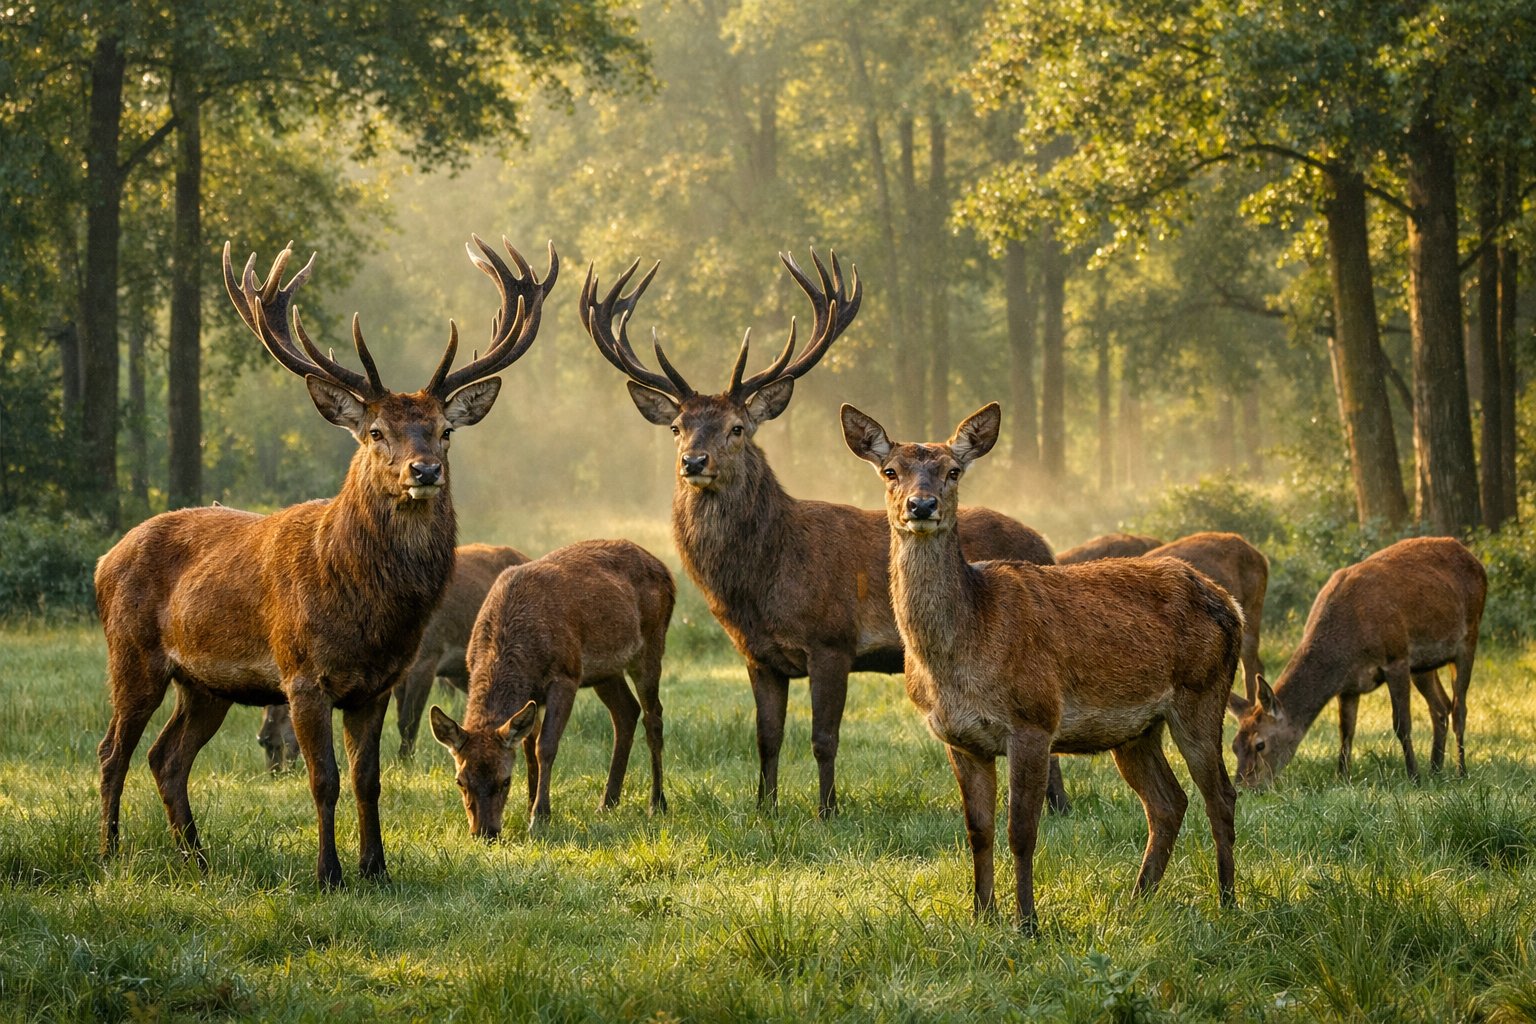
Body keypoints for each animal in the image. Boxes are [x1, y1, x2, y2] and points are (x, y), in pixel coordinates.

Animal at [430, 539, 674, 837]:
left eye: (505, 780)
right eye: (460, 781)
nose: (485, 832)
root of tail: (664, 570)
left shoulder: (565, 674)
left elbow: (544, 746)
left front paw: (540, 816)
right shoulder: (531, 696)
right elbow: (527, 748)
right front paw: (529, 806)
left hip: (652, 642)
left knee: (654, 718)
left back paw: (657, 803)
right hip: (604, 670)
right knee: (626, 711)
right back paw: (607, 802)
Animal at [580, 250, 1064, 820]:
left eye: (738, 428)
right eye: (677, 428)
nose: (694, 462)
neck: (763, 578)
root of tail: (1047, 545)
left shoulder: (832, 638)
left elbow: (823, 737)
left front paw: (827, 810)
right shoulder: (758, 655)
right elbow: (766, 737)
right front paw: (765, 808)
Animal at [842, 402, 1242, 928]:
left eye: (953, 470)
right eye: (890, 471)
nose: (922, 505)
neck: (960, 654)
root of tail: (1229, 605)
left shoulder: (1033, 719)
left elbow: (1021, 831)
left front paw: (1027, 923)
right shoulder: (958, 738)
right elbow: (978, 830)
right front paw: (981, 915)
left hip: (1202, 694)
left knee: (1221, 795)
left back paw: (1228, 901)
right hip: (1136, 730)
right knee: (1168, 802)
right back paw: (1136, 901)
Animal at [1227, 536, 1485, 788]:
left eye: (1260, 744)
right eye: (1234, 746)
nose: (1244, 786)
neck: (1348, 645)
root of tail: (1473, 558)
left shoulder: (1397, 658)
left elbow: (1402, 724)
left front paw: (1414, 777)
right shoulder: (1349, 685)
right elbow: (1346, 730)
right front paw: (1342, 777)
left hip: (1468, 638)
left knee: (1459, 708)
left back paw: (1461, 772)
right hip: (1423, 665)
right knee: (1440, 707)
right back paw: (1435, 769)